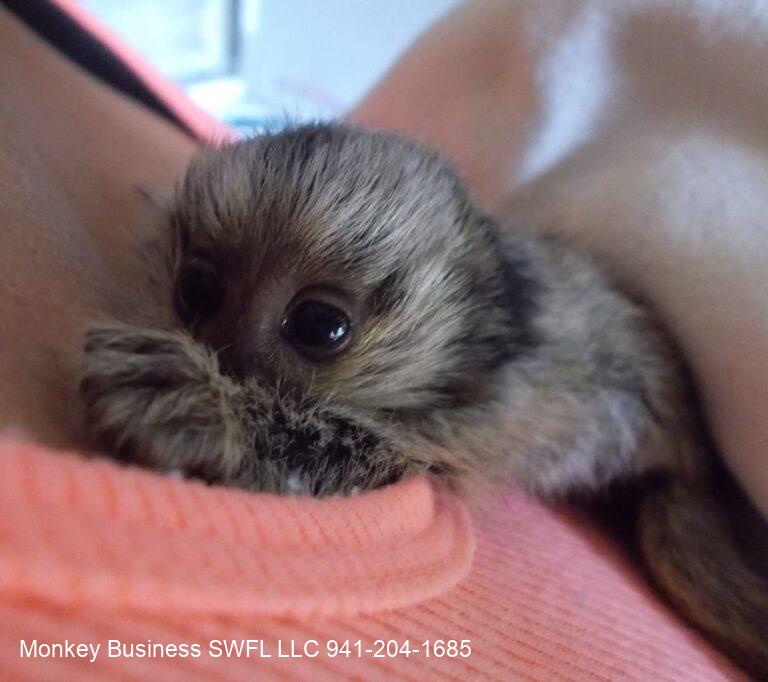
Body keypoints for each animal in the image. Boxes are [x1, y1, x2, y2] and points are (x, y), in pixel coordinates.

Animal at [79, 123, 767, 678]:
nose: (224, 353)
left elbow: (359, 452)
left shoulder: (479, 420)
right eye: (196, 290)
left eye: (318, 325)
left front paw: (201, 403)